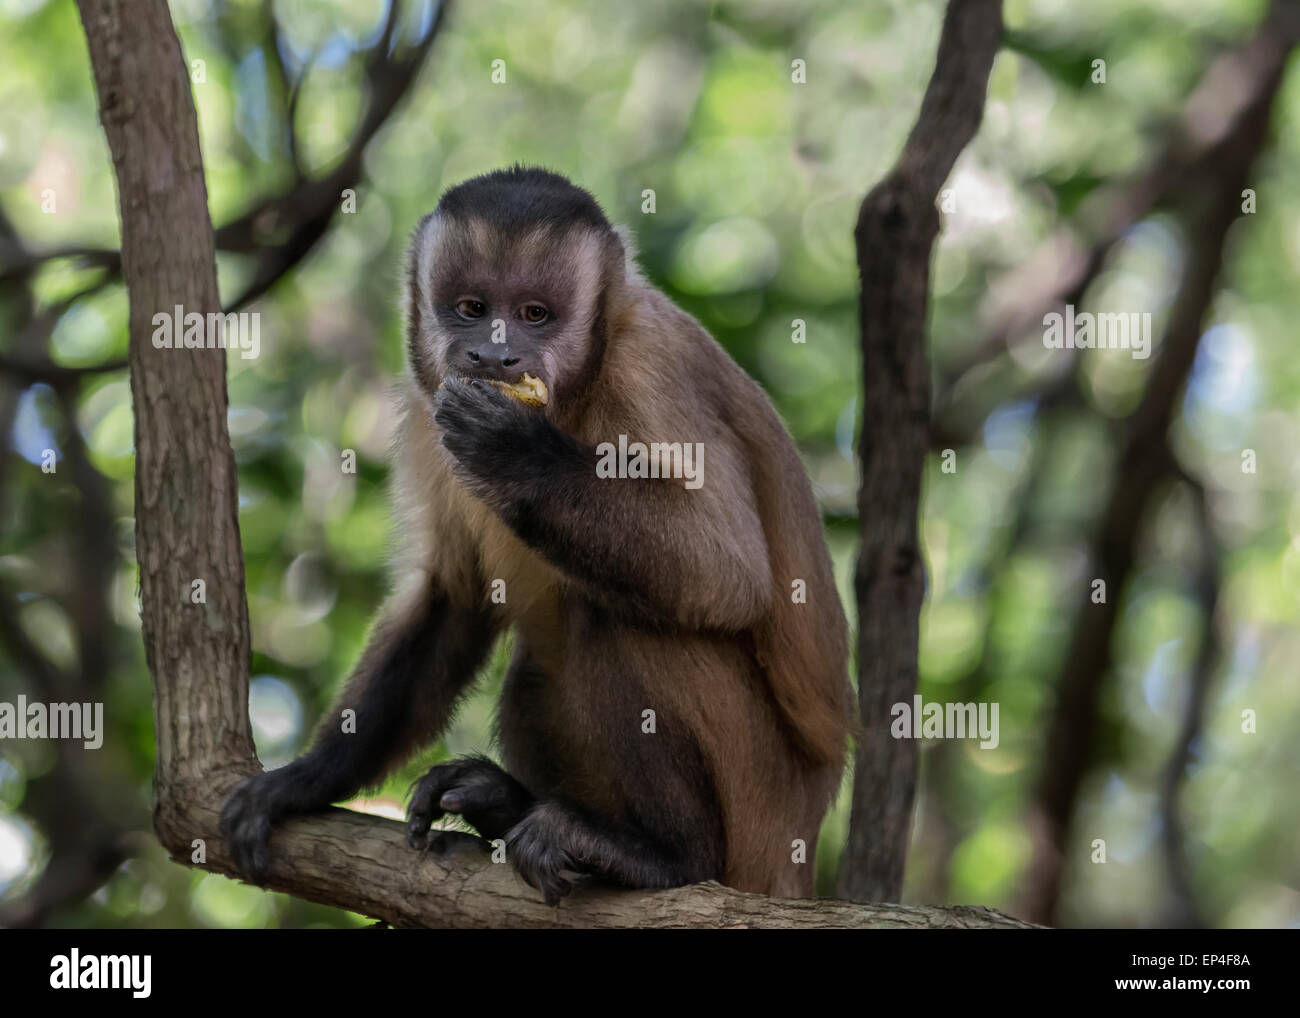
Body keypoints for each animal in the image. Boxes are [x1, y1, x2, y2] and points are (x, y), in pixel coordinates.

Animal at [220, 166, 853, 904]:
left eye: (534, 315)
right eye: (471, 307)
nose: (495, 355)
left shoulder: (652, 368)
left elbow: (725, 571)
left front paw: (517, 454)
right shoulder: (428, 407)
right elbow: (453, 595)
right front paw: (311, 778)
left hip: (758, 804)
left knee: (612, 612)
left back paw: (663, 855)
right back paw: (507, 805)